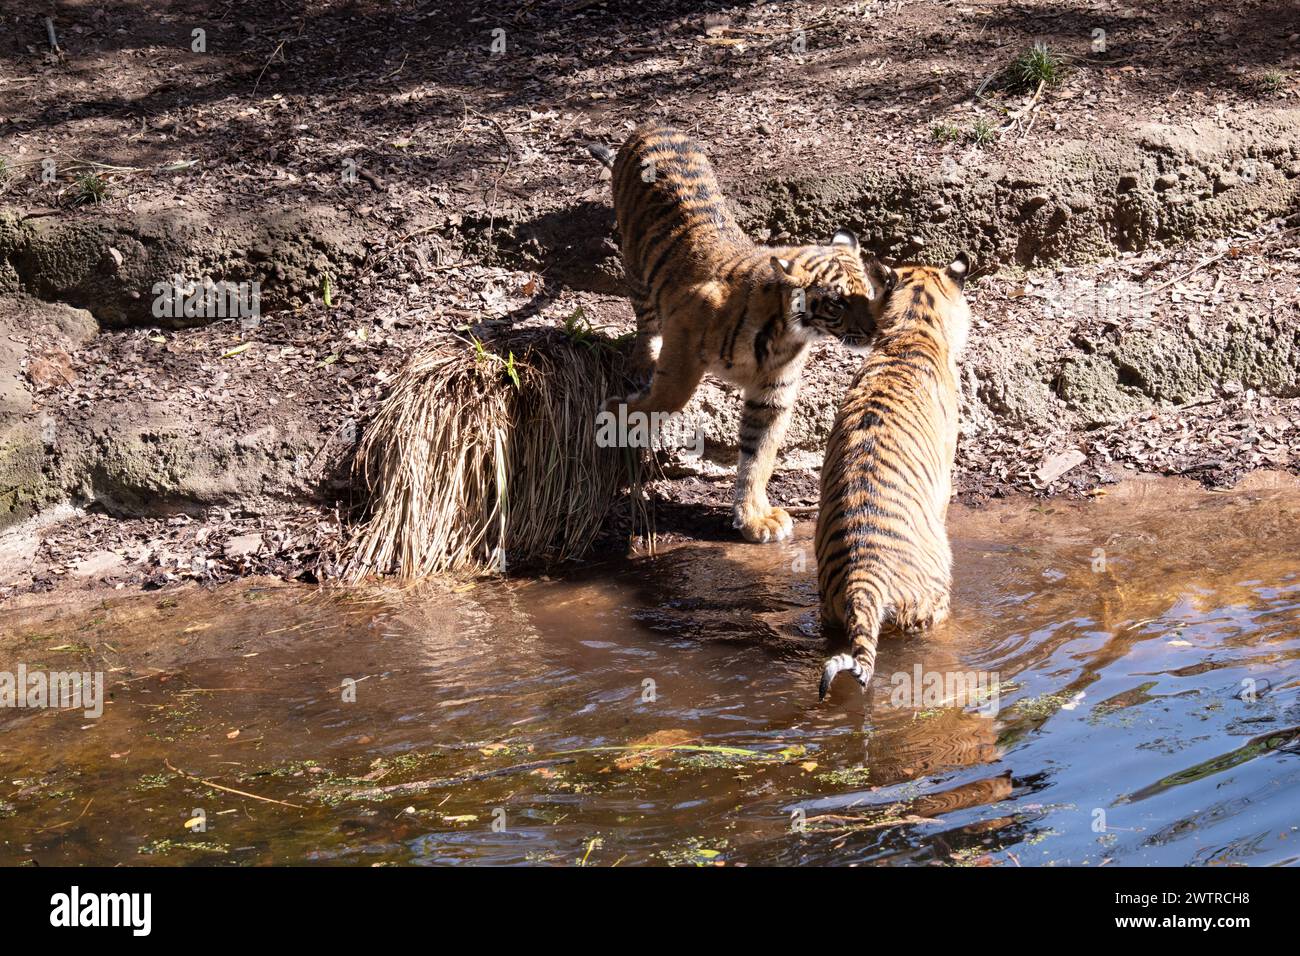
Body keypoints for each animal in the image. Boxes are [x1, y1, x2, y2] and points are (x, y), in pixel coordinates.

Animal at [587, 123, 895, 544]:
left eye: (866, 292)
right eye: (837, 303)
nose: (871, 329)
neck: (785, 331)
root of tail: (652, 125)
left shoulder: (772, 394)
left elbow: (758, 456)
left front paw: (754, 518)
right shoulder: (684, 332)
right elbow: (670, 395)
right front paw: (620, 412)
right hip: (636, 269)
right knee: (646, 321)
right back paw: (640, 361)